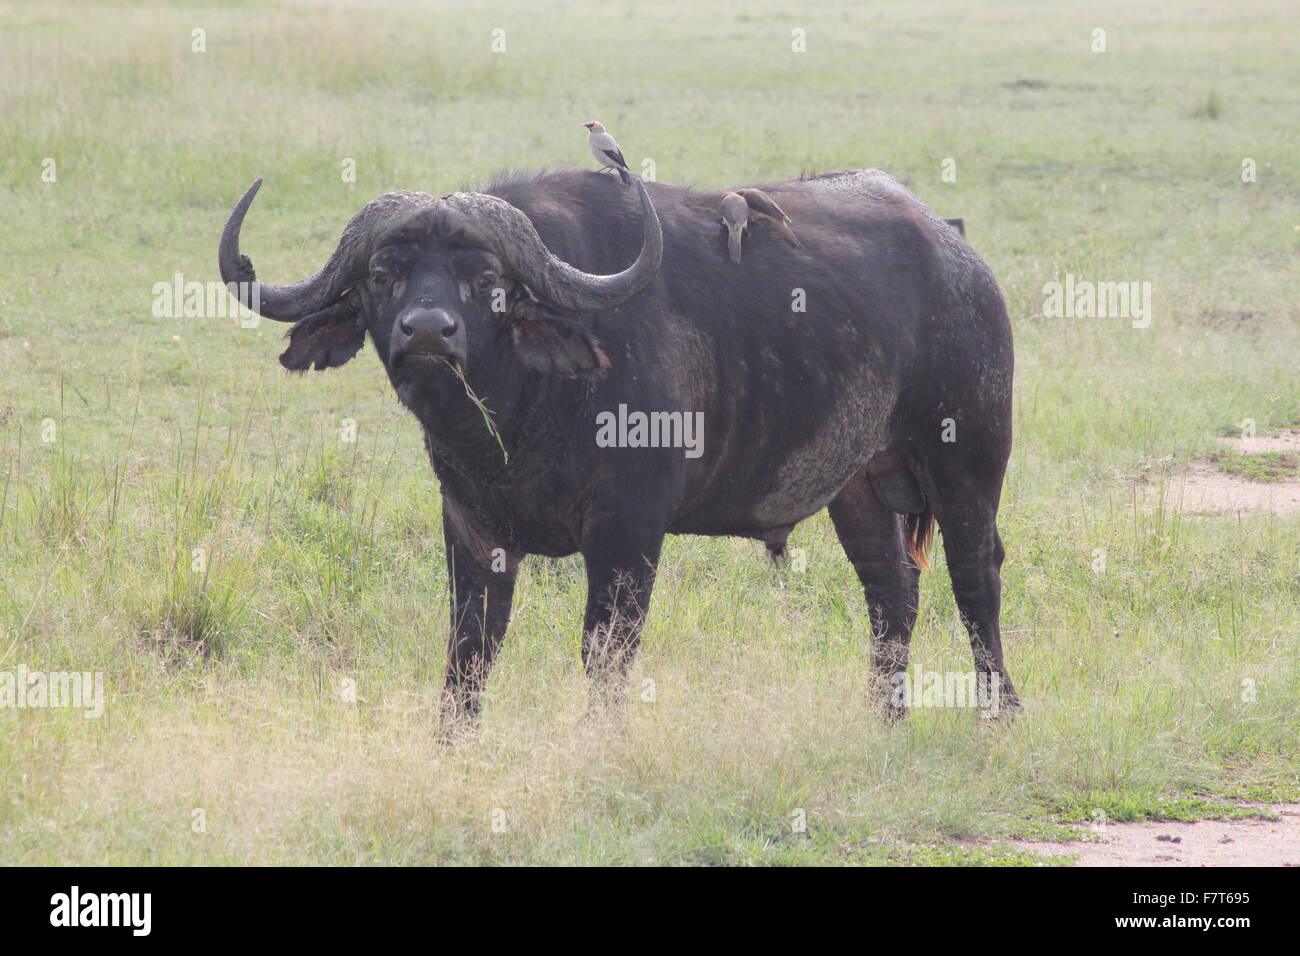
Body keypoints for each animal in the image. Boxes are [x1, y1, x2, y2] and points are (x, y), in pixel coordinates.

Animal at [219, 167, 1020, 728]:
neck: (514, 422)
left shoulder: (628, 529)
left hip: (967, 459)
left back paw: (999, 714)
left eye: (487, 281)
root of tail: (962, 259)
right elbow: (470, 648)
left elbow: (604, 651)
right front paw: (452, 744)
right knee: (892, 591)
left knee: (975, 577)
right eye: (384, 276)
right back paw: (882, 718)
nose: (426, 332)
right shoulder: (471, 527)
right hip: (857, 485)